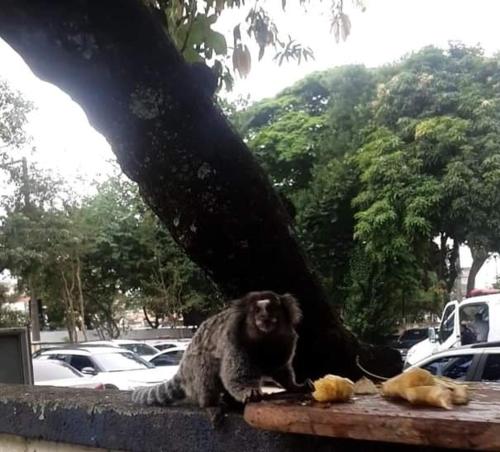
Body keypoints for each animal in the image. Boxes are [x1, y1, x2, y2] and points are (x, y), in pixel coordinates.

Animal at [131, 291, 310, 410]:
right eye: (257, 311)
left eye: (272, 308)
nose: (265, 317)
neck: (264, 341)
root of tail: (183, 366)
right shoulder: (235, 344)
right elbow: (234, 376)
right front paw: (250, 393)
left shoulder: (285, 342)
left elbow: (281, 370)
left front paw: (296, 386)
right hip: (194, 366)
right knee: (206, 370)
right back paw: (211, 402)